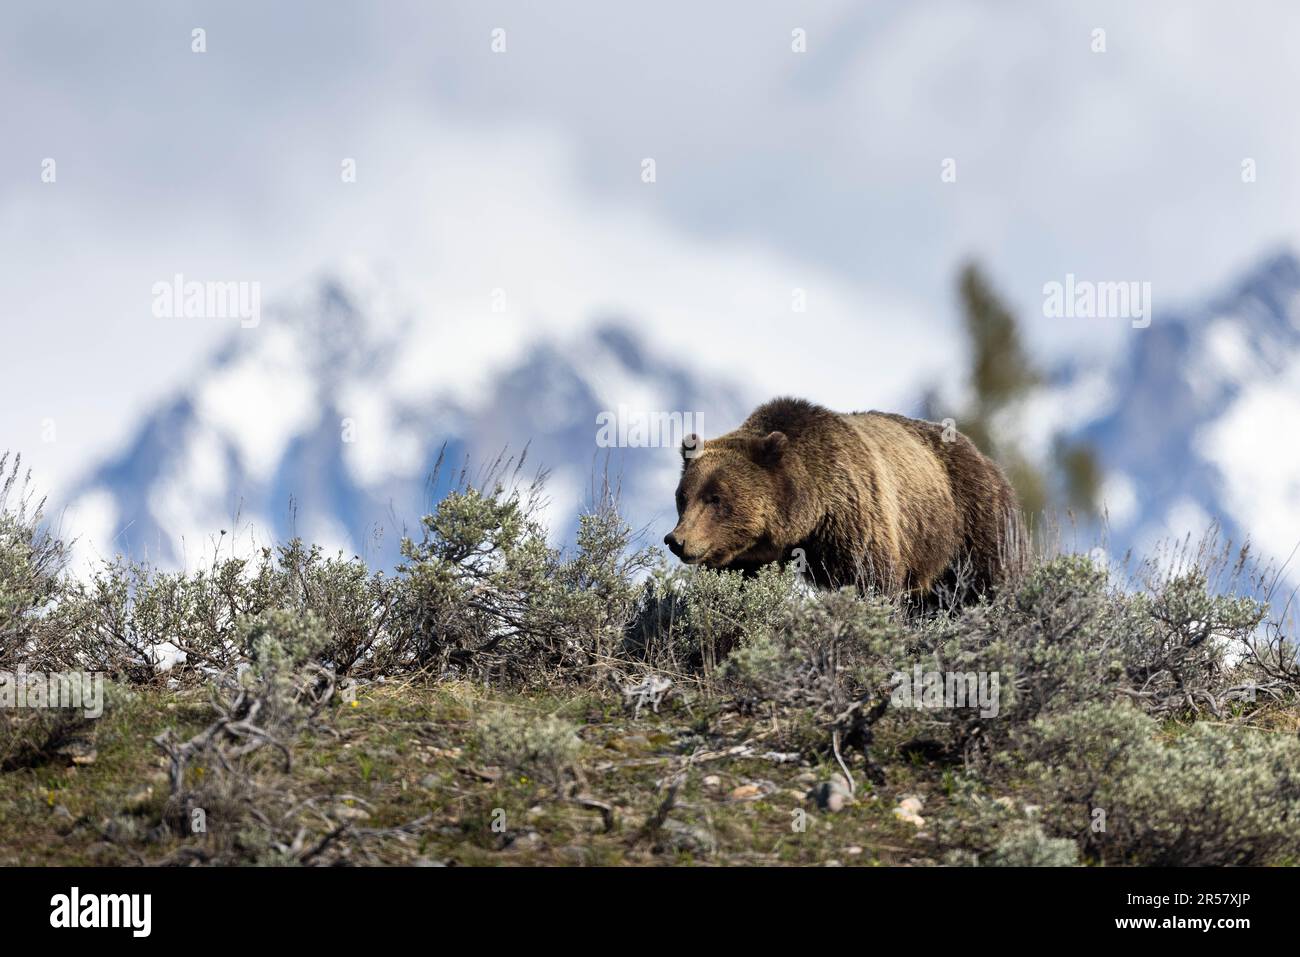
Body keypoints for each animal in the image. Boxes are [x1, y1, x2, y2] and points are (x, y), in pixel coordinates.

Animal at [663, 397, 1024, 600]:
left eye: (716, 498)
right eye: (683, 496)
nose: (677, 540)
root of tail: (985, 458)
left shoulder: (855, 518)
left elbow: (873, 583)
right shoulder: (746, 557)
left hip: (969, 521)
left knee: (985, 579)